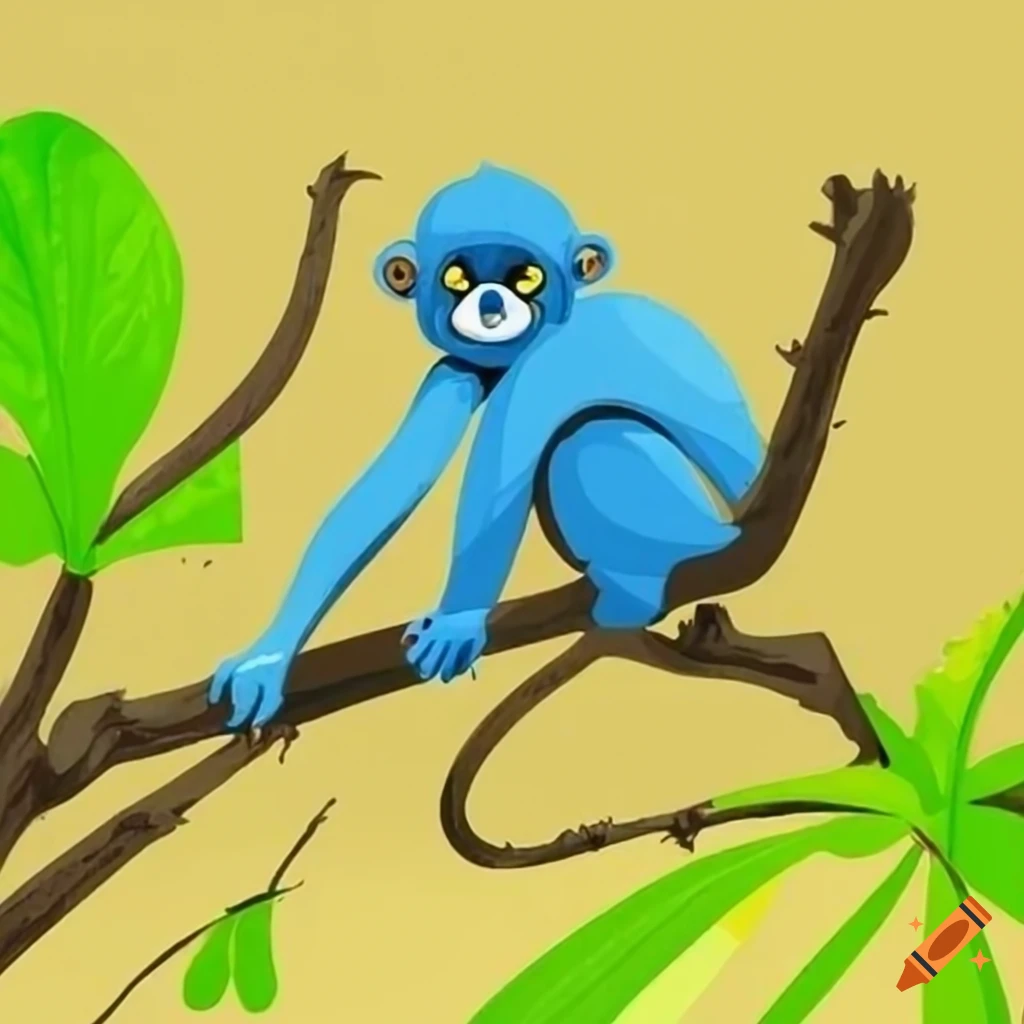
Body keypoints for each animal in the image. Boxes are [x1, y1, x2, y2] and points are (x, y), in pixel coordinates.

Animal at [209, 163, 765, 728]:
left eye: (526, 277)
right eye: (458, 279)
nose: (493, 303)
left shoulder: (555, 351)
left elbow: (505, 466)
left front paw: (460, 619)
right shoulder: (452, 368)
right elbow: (384, 490)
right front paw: (268, 659)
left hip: (698, 534)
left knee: (584, 438)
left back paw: (636, 586)